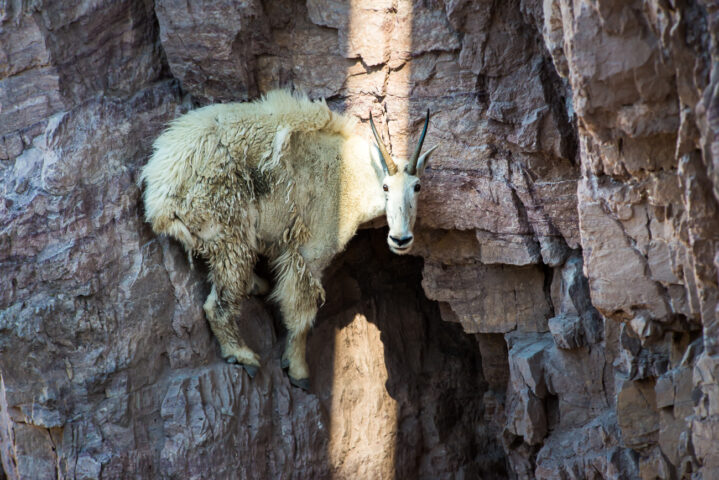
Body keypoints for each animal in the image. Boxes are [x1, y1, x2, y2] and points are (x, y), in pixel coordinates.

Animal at [141, 91, 437, 389]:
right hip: (226, 230)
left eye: (417, 186)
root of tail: (160, 188)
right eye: (386, 187)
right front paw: (298, 370)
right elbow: (301, 314)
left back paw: (255, 285)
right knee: (218, 303)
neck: (353, 178)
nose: (400, 239)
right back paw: (243, 355)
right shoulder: (311, 252)